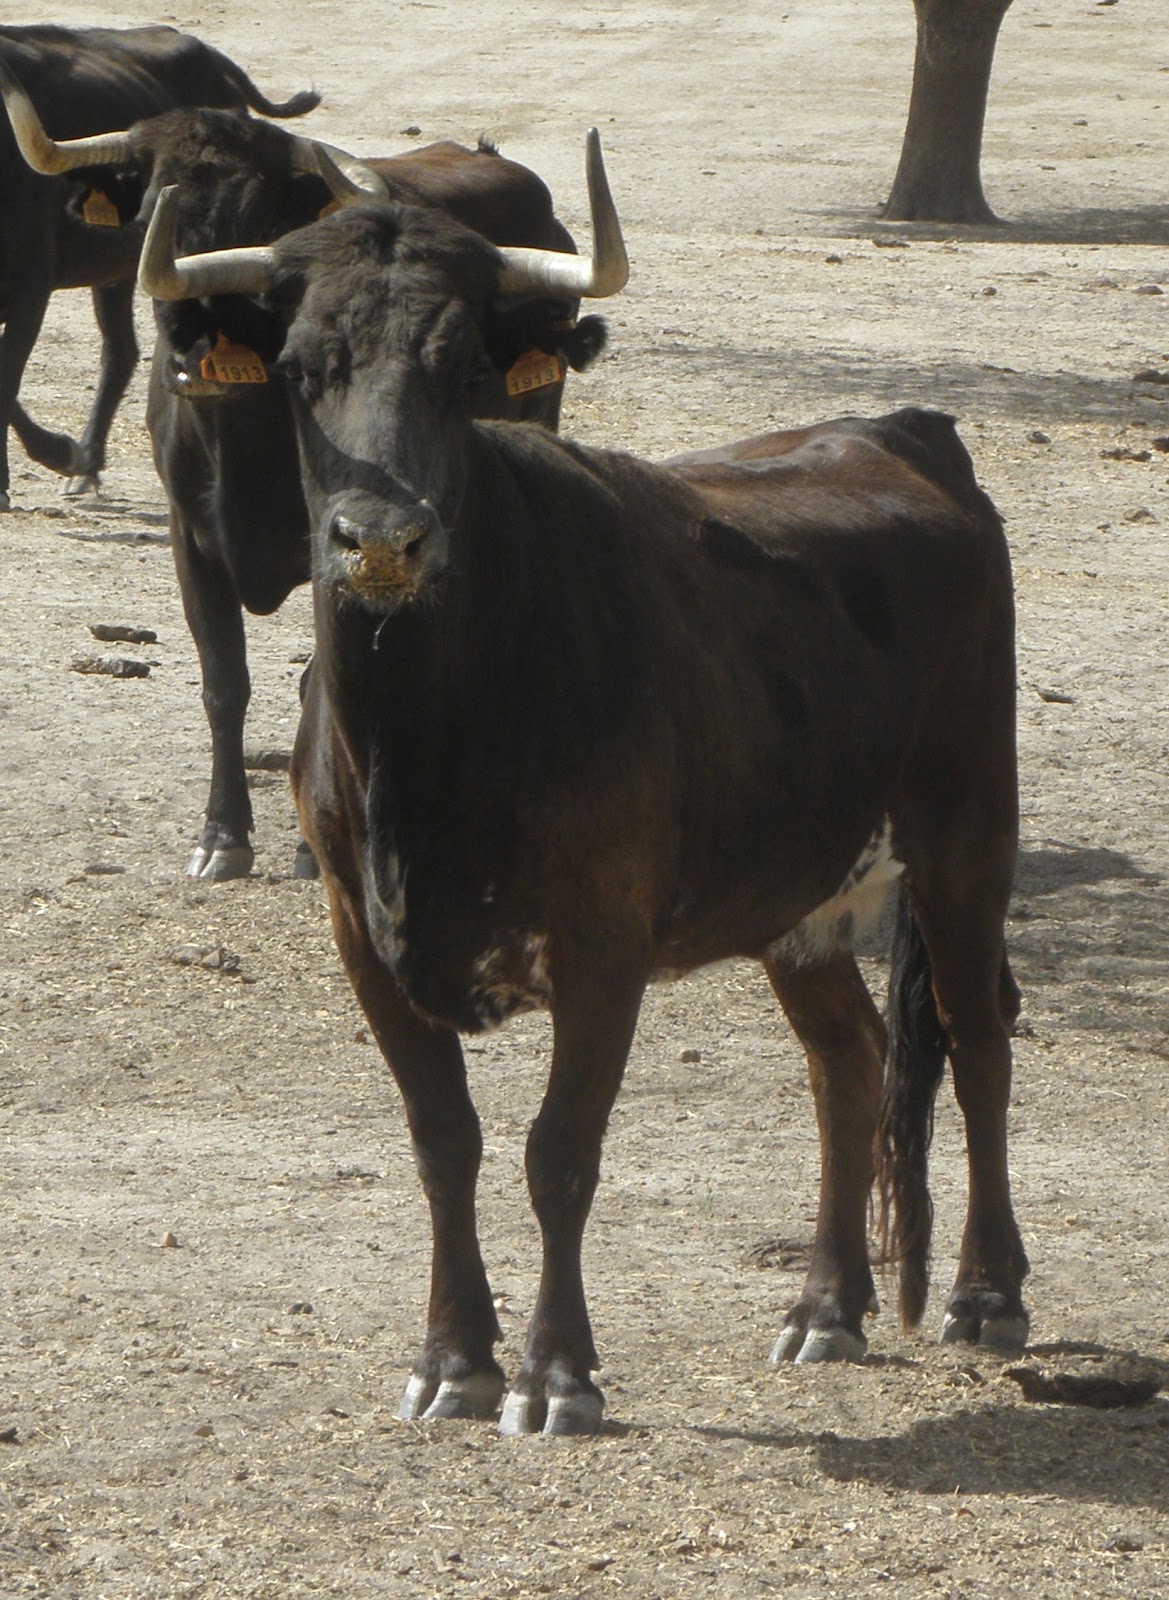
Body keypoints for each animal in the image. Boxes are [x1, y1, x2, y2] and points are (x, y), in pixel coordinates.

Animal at [0, 24, 317, 511]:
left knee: (122, 351)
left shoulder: (31, 290)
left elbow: (5, 379)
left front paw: (54, 454)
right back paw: (86, 465)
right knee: (121, 350)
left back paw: (83, 463)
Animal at [7, 93, 615, 882]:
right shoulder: (189, 539)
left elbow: (314, 684)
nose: (187, 345)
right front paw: (222, 835)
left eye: (257, 217)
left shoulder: (339, 548)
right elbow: (223, 682)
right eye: (149, 215)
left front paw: (309, 844)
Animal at [139, 142, 1029, 1434]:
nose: (380, 541)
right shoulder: (361, 931)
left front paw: (557, 1373)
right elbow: (443, 1138)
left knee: (974, 1035)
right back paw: (825, 1306)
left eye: (463, 371)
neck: (427, 742)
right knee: (849, 1055)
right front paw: (452, 1357)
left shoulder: (605, 937)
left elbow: (558, 1151)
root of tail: (895, 430)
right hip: (796, 892)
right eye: (303, 370)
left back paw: (985, 1294)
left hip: (965, 836)